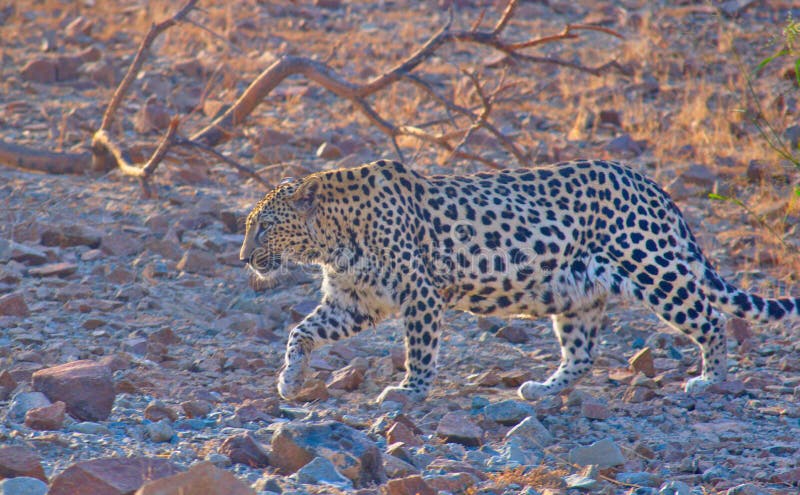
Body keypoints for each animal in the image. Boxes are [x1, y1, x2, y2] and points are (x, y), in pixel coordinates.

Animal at [239, 159, 800, 403]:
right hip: (577, 295)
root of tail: (652, 185)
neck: (332, 238)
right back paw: (544, 389)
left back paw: (711, 378)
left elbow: (420, 350)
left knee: (709, 319)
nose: (244, 258)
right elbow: (301, 331)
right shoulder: (356, 300)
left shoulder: (421, 296)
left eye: (263, 225)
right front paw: (289, 380)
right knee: (583, 352)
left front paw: (409, 391)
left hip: (654, 269)